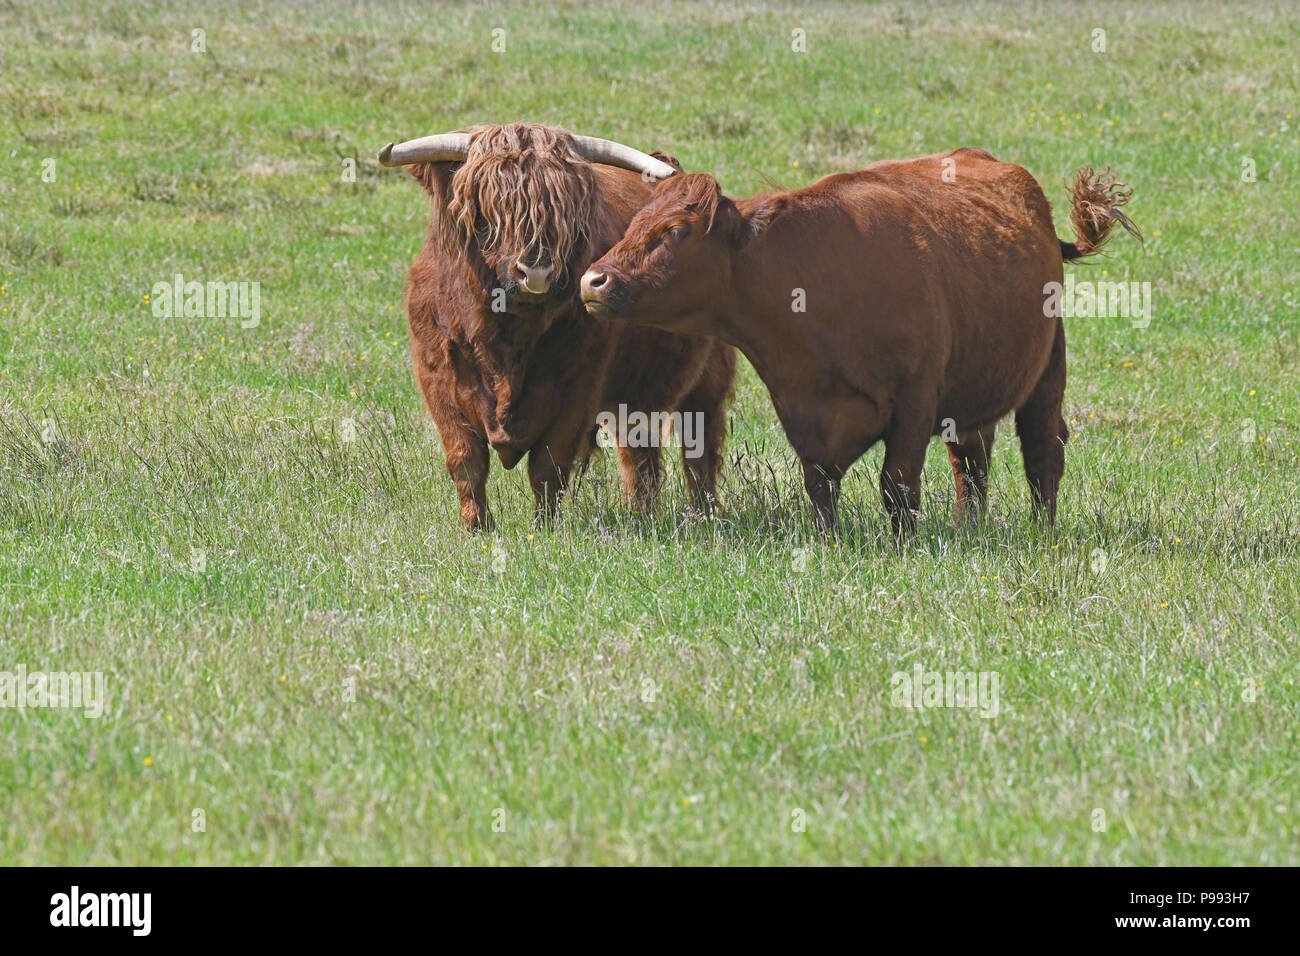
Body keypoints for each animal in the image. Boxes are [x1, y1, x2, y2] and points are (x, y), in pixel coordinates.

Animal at [380, 124, 736, 530]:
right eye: (486, 211)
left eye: (563, 211)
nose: (536, 272)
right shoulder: (439, 379)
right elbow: (466, 460)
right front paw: (477, 529)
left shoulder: (577, 389)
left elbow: (548, 466)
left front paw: (544, 530)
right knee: (639, 453)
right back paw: (640, 513)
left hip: (710, 375)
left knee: (700, 446)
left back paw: (705, 514)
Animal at [580, 149, 1141, 535]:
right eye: (634, 223)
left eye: (676, 230)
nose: (593, 280)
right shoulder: (801, 407)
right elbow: (820, 485)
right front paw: (830, 540)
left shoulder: (915, 401)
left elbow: (898, 485)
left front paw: (903, 544)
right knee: (972, 459)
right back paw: (969, 527)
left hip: (1047, 367)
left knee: (1043, 448)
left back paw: (1042, 530)